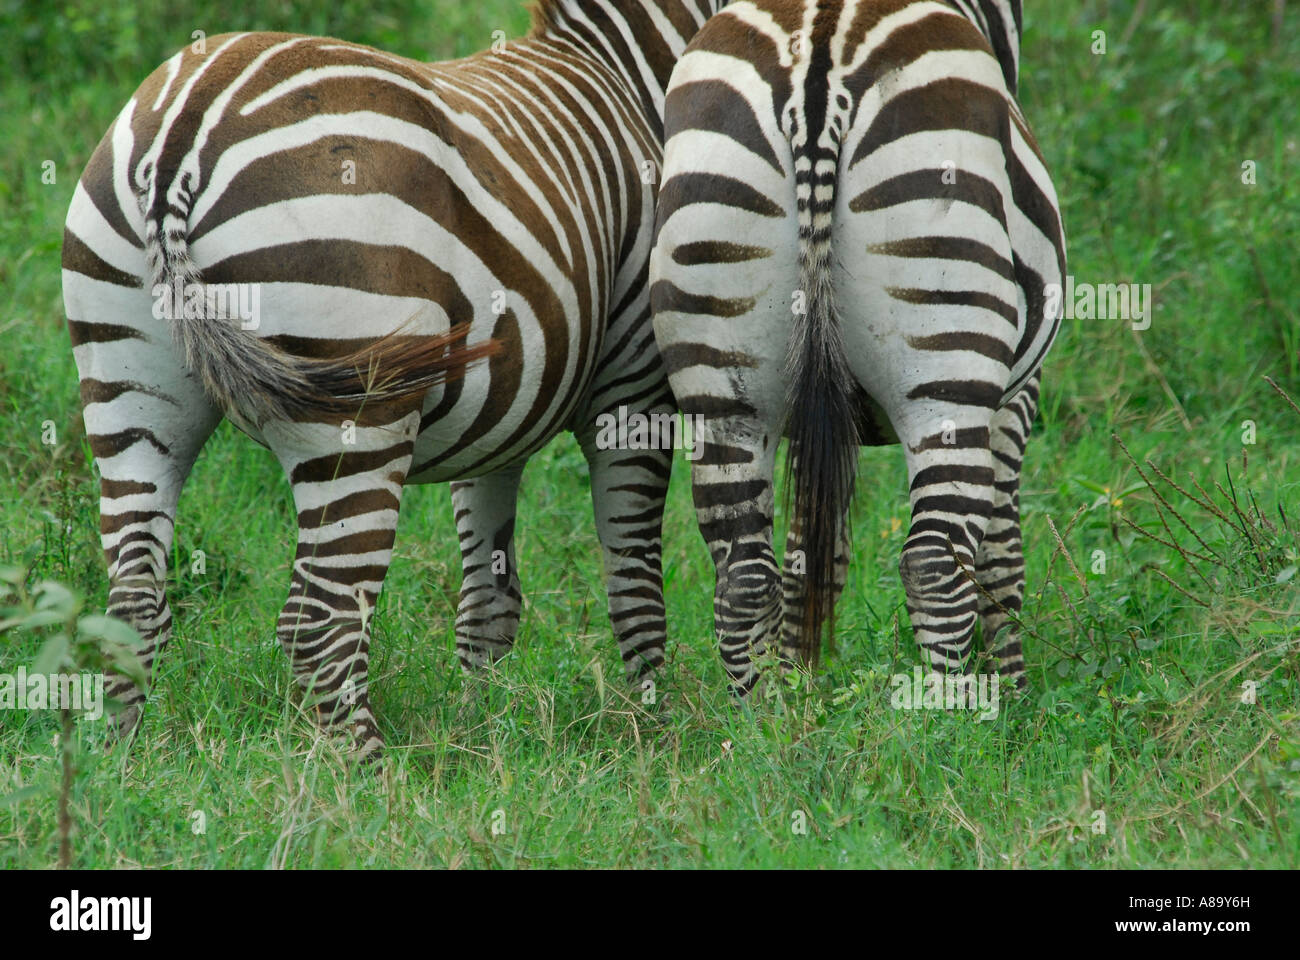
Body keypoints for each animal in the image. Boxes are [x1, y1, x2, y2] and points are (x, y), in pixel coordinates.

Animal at [62, 0, 728, 759]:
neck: (624, 70)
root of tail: (185, 123)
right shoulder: (633, 386)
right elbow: (635, 580)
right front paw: (654, 731)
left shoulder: (498, 414)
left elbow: (489, 600)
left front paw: (479, 734)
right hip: (359, 405)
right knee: (320, 619)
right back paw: (369, 775)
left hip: (128, 387)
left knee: (135, 597)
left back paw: (124, 764)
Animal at [649, 0, 1065, 692]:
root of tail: (816, 74)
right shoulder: (1017, 394)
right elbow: (1002, 552)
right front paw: (1016, 688)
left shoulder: (813, 421)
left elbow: (811, 555)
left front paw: (805, 676)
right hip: (945, 357)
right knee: (935, 565)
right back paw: (956, 717)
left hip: (721, 363)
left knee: (744, 575)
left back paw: (768, 718)